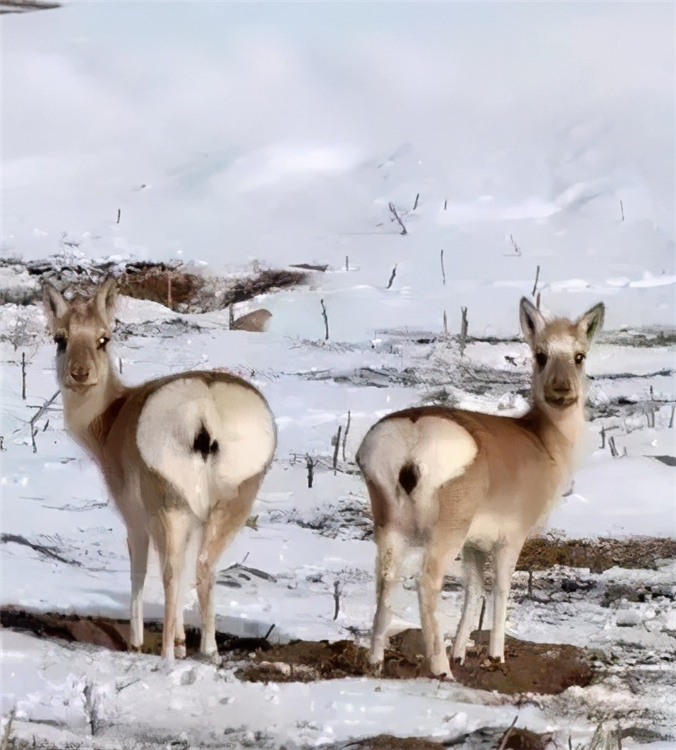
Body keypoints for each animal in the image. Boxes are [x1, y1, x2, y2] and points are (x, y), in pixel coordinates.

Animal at [43, 278, 277, 662]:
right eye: (60, 337)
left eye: (104, 337)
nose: (80, 373)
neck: (111, 417)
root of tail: (206, 408)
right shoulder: (195, 519)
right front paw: (182, 640)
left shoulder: (135, 518)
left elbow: (139, 570)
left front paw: (138, 641)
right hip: (232, 502)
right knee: (203, 566)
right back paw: (207, 650)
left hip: (170, 508)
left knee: (171, 572)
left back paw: (167, 651)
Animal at [356, 297, 604, 678]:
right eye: (540, 354)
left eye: (580, 355)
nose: (561, 390)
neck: (545, 442)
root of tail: (410, 442)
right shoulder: (511, 535)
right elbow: (500, 588)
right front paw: (495, 655)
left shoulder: (475, 542)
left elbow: (474, 590)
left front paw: (461, 651)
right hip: (447, 526)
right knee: (427, 581)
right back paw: (441, 667)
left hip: (388, 522)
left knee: (385, 577)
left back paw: (376, 660)